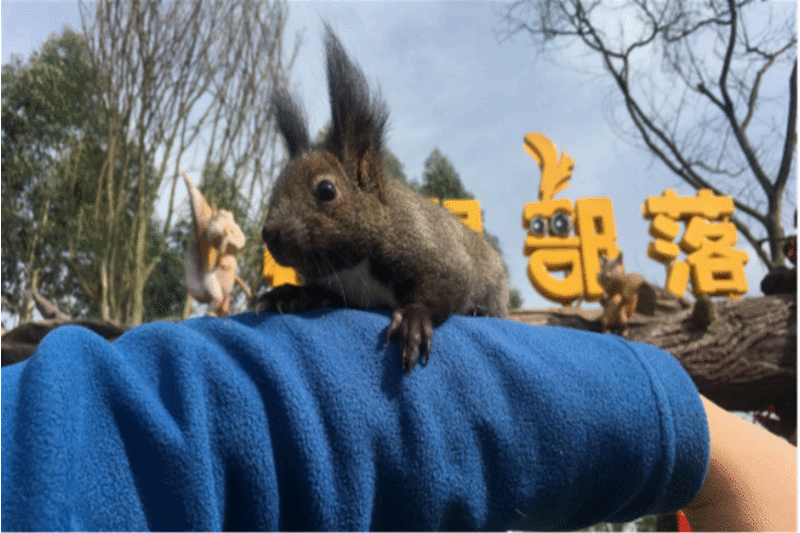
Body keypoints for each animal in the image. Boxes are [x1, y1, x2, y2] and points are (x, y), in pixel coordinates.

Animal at [257, 26, 509, 373]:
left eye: (327, 190)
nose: (269, 232)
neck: (356, 265)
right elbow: (322, 293)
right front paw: (289, 294)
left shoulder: (439, 253)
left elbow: (448, 285)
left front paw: (414, 320)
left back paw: (480, 311)